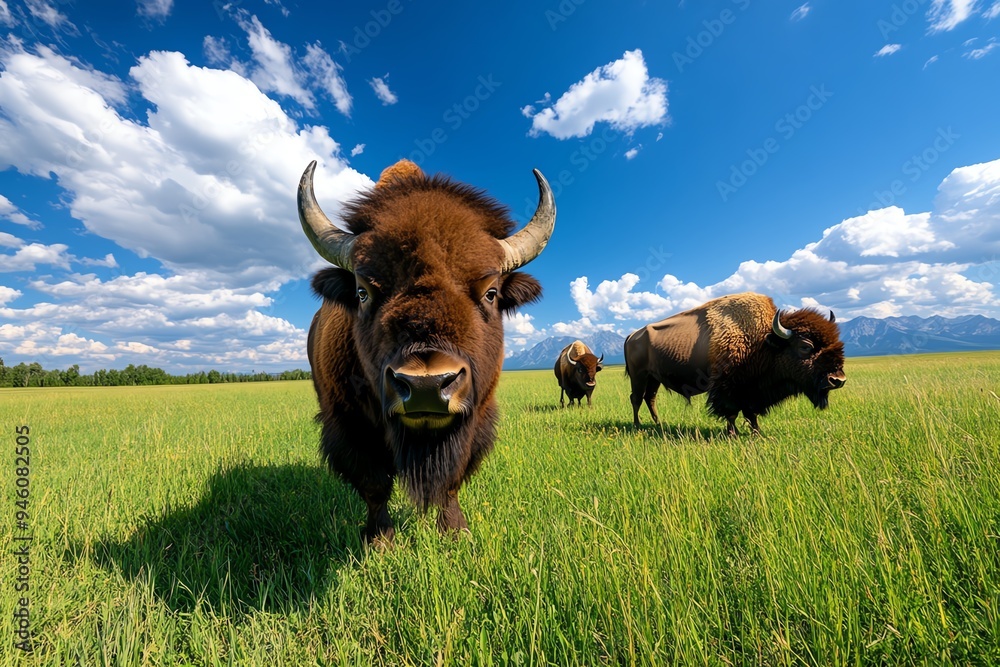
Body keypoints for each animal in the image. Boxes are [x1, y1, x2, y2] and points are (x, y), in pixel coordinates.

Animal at [300, 159, 555, 541]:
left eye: (491, 292)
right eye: (362, 292)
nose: (426, 386)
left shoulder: (474, 421)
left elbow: (451, 482)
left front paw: (454, 533)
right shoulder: (347, 425)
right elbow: (374, 484)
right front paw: (380, 540)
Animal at [624, 292, 846, 434]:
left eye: (838, 343)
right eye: (805, 346)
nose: (838, 380)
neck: (764, 341)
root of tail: (632, 335)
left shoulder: (751, 391)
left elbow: (750, 413)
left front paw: (756, 432)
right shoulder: (728, 387)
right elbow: (731, 411)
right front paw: (733, 433)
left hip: (653, 378)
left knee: (649, 398)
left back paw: (658, 424)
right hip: (639, 375)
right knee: (636, 398)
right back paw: (638, 426)